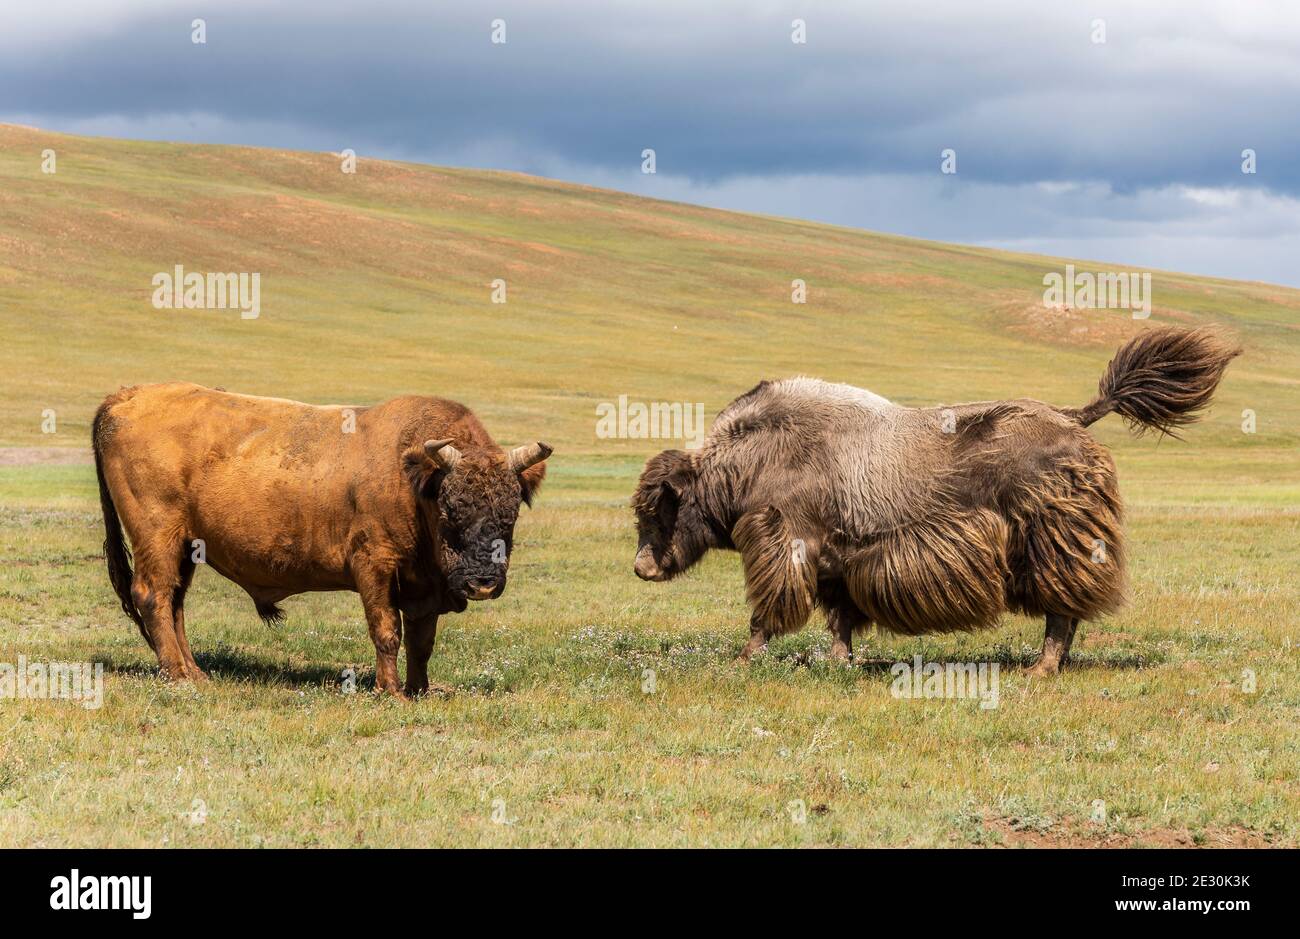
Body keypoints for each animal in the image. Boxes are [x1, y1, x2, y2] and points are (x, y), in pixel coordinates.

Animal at [93, 383, 551, 697]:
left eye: (510, 514)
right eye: (450, 510)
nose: (482, 583)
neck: (412, 477)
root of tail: (126, 396)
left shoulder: (422, 585)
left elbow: (422, 641)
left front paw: (419, 689)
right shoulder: (374, 566)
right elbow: (387, 630)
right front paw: (391, 691)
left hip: (186, 547)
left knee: (175, 603)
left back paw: (195, 672)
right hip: (158, 538)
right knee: (153, 596)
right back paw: (177, 674)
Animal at [631, 326, 1240, 676]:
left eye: (662, 507)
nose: (641, 568)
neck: (751, 461)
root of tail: (1073, 418)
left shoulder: (787, 544)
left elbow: (765, 611)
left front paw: (745, 659)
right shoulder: (838, 562)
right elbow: (840, 620)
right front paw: (841, 665)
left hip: (1052, 543)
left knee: (1062, 612)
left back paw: (1040, 671)